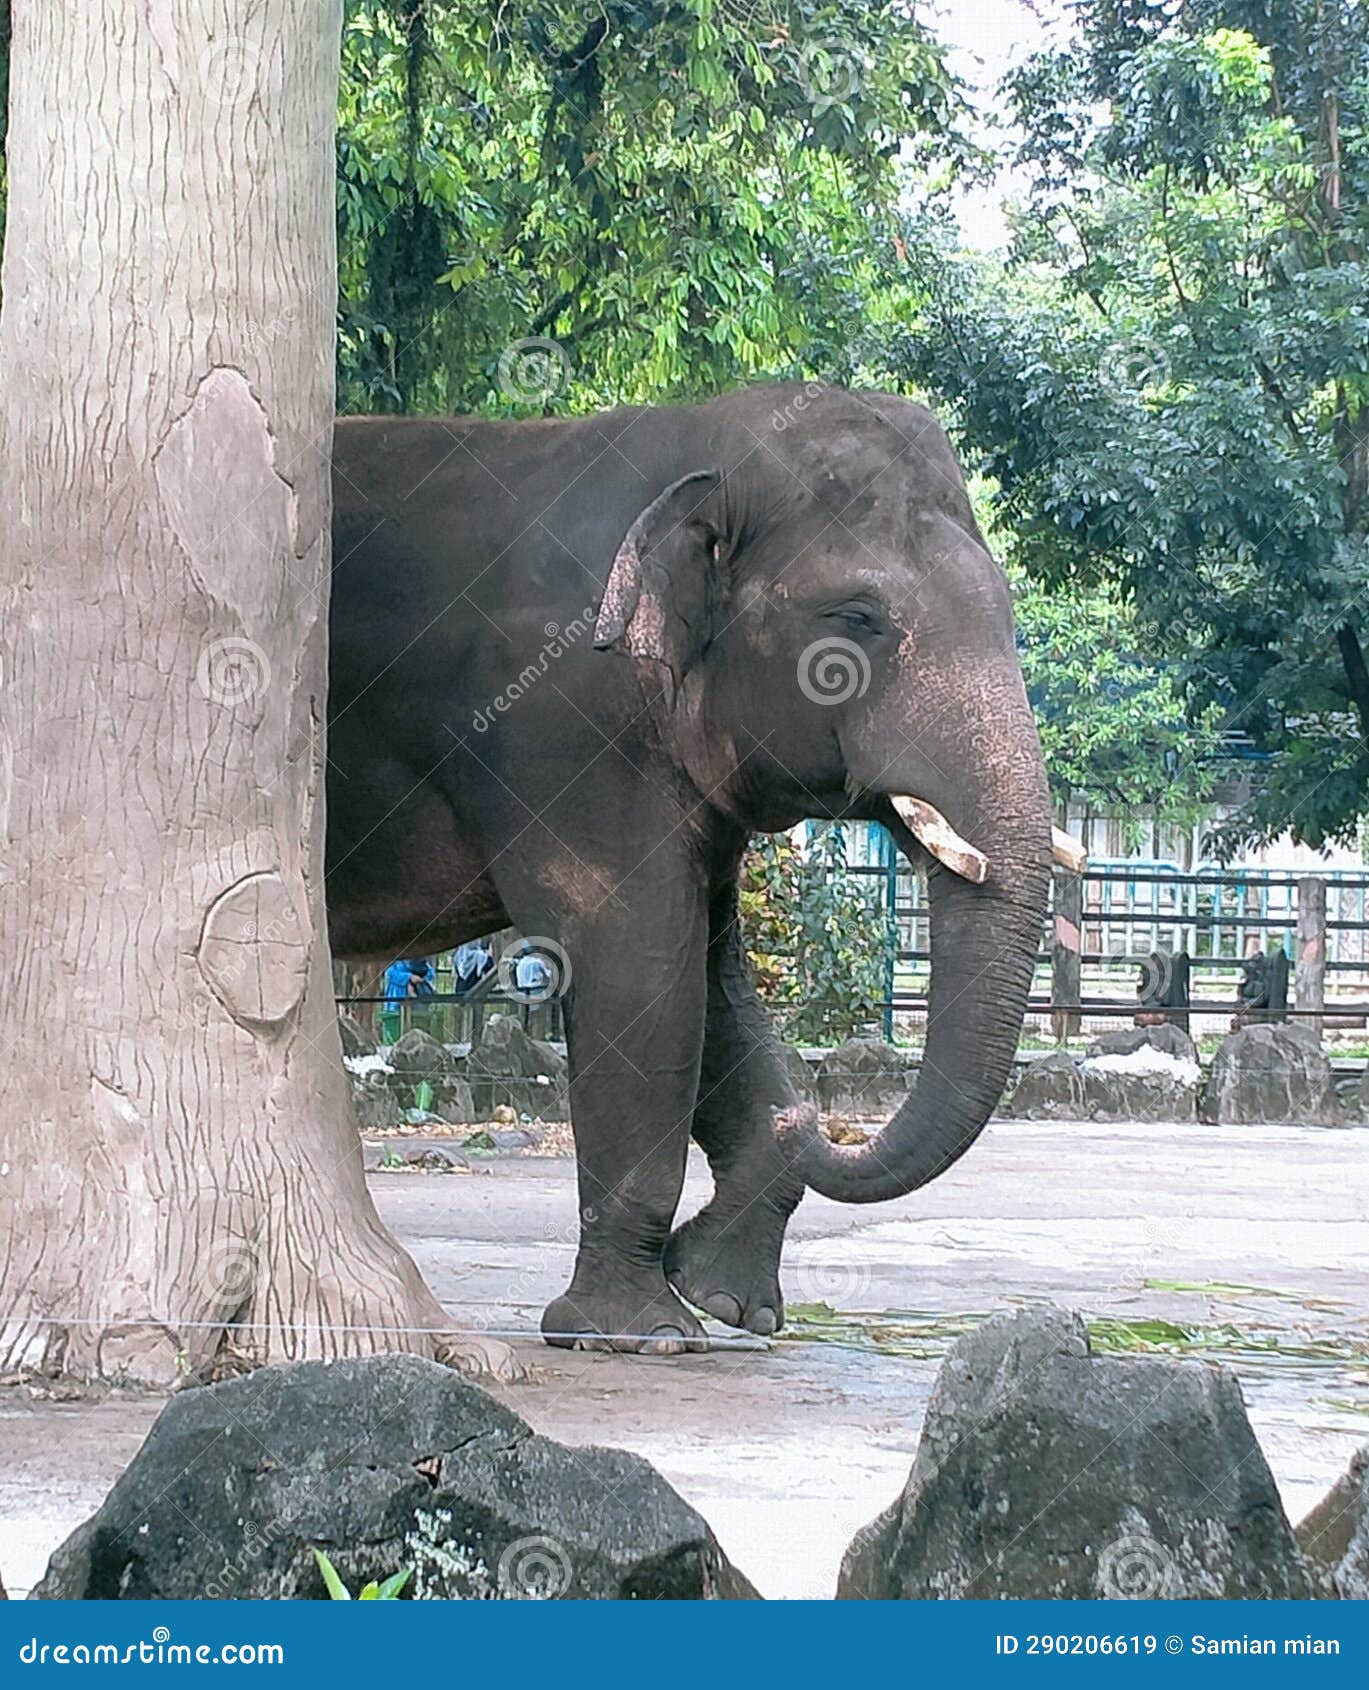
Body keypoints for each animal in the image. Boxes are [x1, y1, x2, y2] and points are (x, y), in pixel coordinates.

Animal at [327, 382, 1056, 1355]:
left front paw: (729, 1303)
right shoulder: (564, 727)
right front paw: (642, 1336)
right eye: (856, 619)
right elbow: (638, 961)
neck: (696, 447)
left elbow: (708, 973)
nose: (809, 1117)